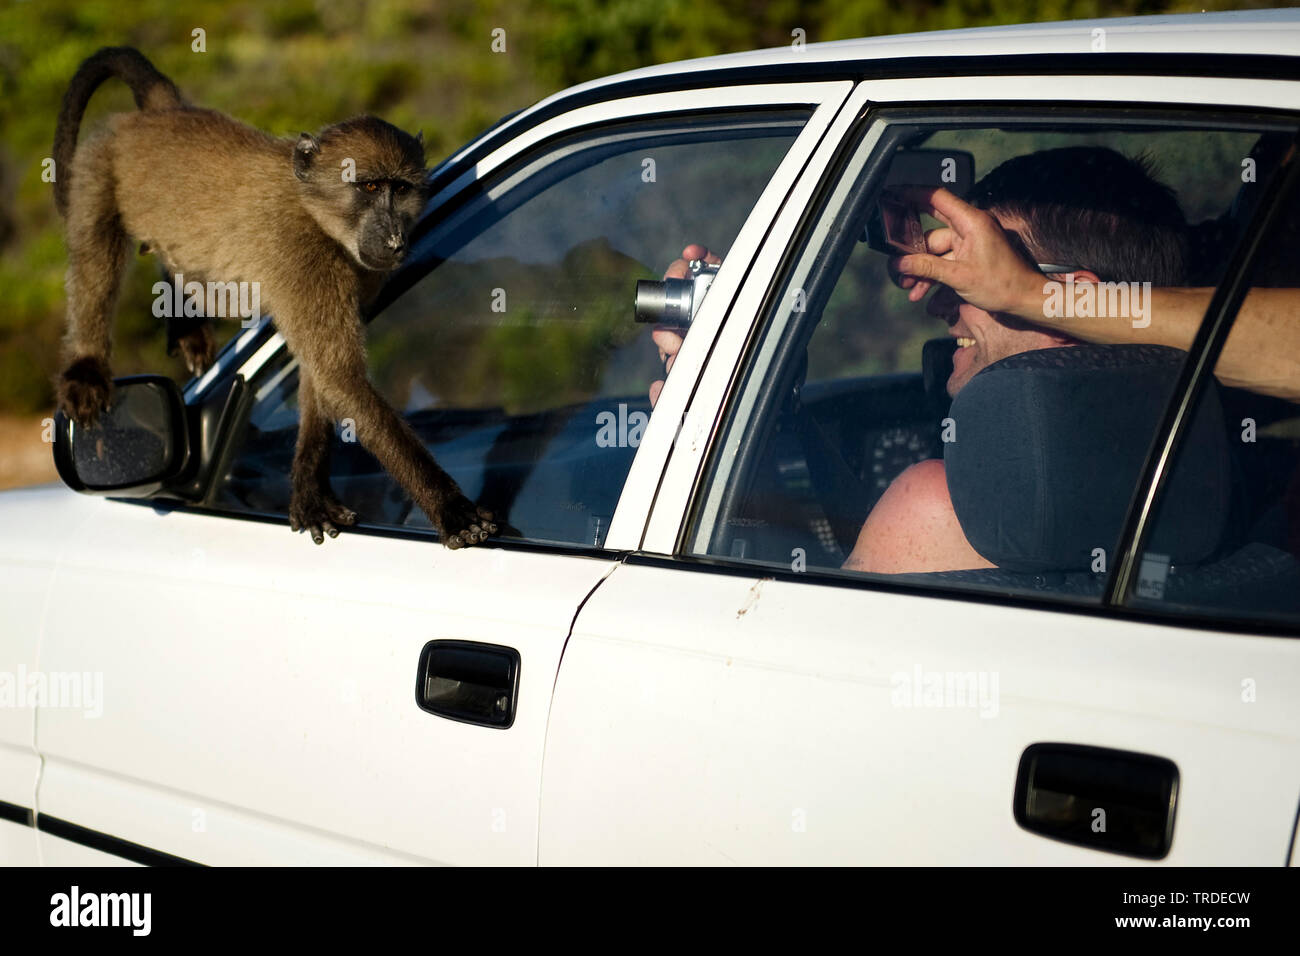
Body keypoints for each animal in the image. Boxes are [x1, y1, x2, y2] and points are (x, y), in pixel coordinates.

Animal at [52, 47, 496, 549]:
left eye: (401, 189)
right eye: (368, 187)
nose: (396, 241)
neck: (316, 211)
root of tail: (159, 116)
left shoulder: (358, 273)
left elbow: (320, 374)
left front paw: (309, 491)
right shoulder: (302, 256)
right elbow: (340, 376)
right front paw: (450, 508)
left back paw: (184, 317)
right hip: (99, 162)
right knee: (97, 251)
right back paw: (87, 367)